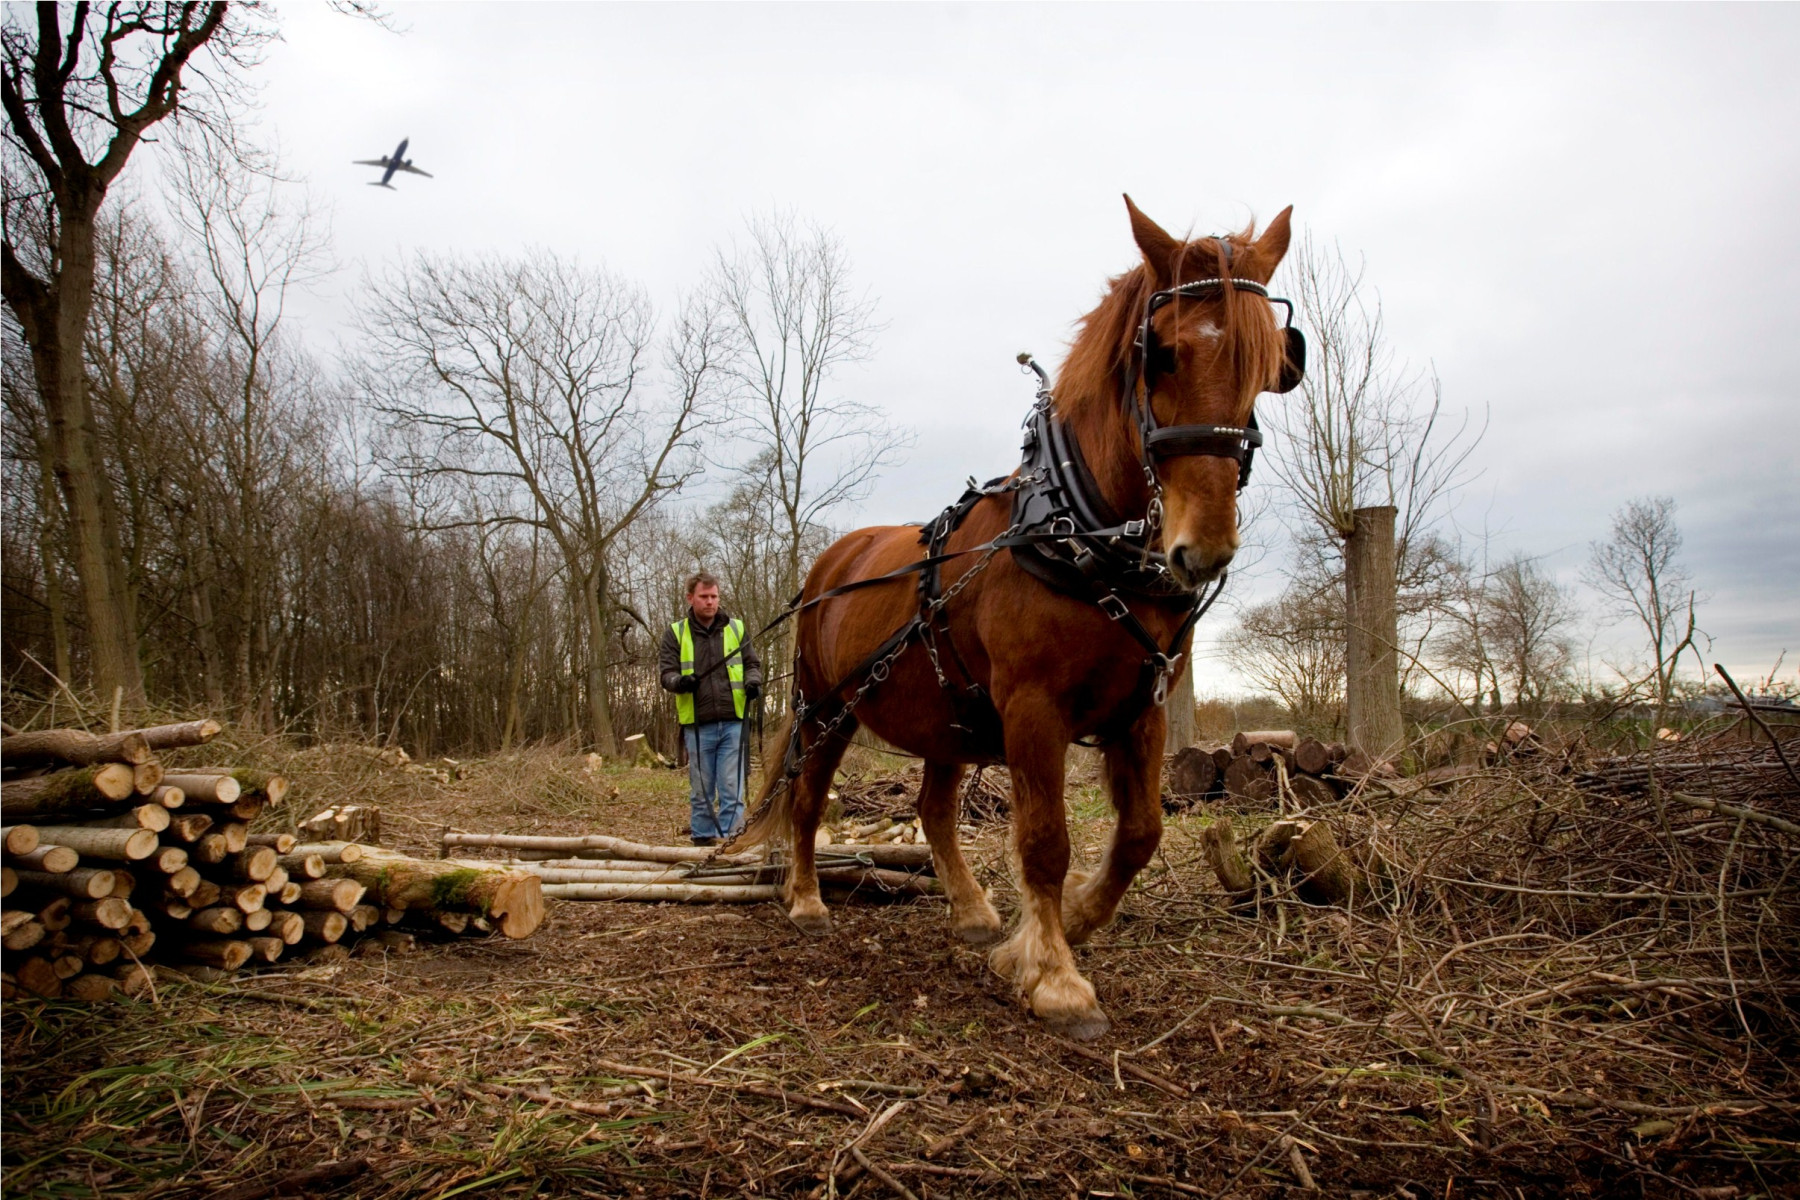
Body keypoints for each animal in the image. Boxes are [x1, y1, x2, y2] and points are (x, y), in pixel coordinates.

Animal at [736, 196, 1300, 1039]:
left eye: (1271, 369)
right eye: (1162, 355)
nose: (1202, 549)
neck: (1083, 533)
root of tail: (832, 560)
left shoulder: (1142, 711)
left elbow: (1140, 833)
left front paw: (1062, 926)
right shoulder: (1034, 707)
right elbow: (1045, 840)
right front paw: (1057, 977)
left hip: (946, 717)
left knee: (936, 812)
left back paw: (973, 914)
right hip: (825, 707)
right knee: (808, 801)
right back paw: (805, 900)